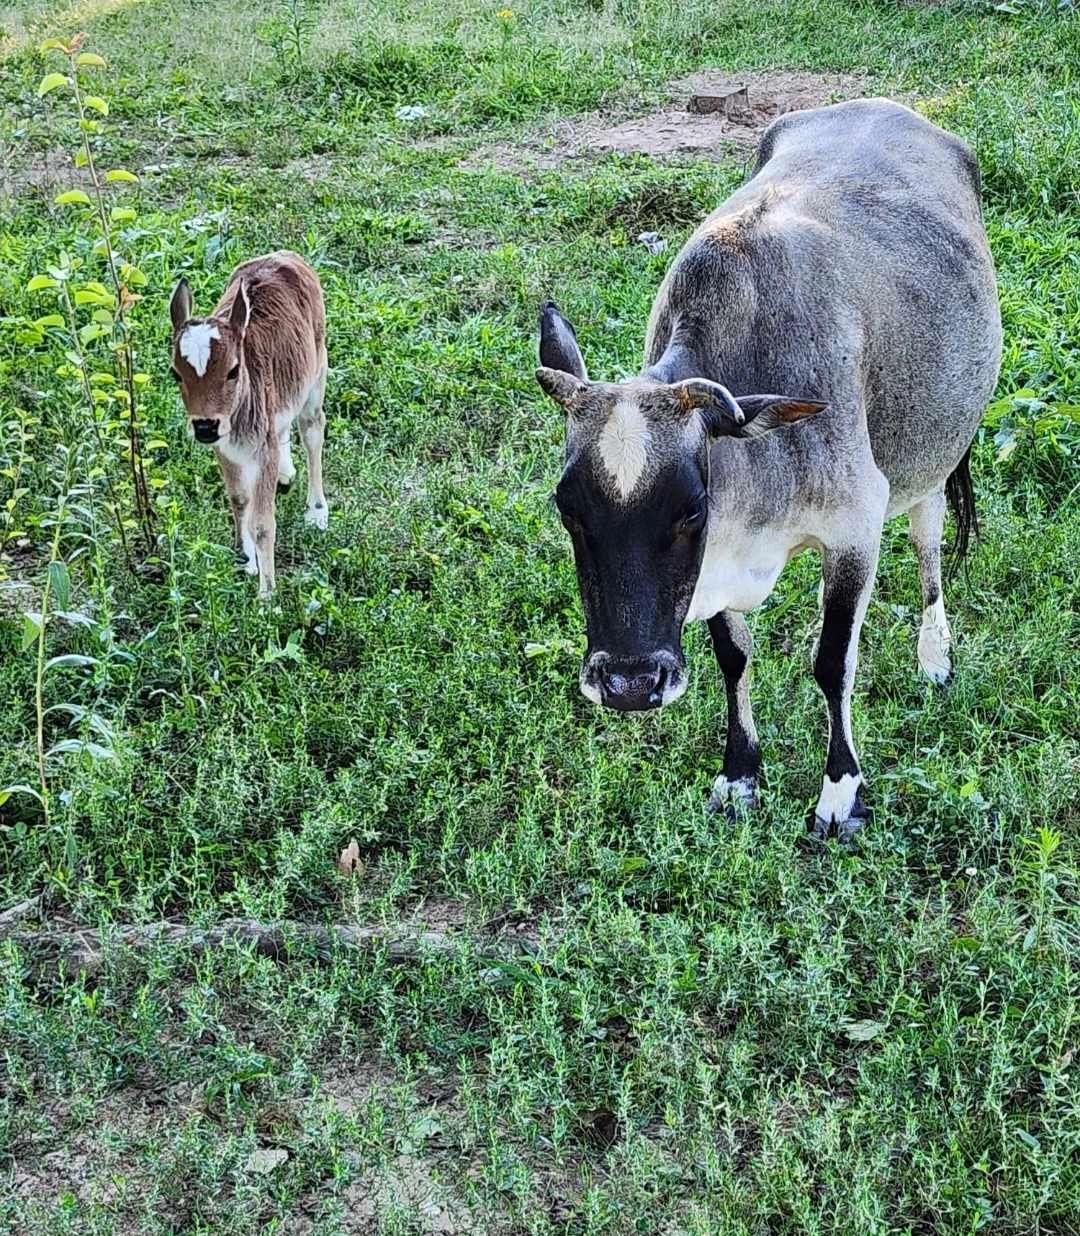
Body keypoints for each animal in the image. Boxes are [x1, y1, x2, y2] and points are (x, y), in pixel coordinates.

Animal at [169, 250, 328, 597]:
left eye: (233, 370)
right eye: (176, 374)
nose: (204, 426)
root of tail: (286, 255)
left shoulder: (262, 449)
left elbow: (262, 523)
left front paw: (267, 594)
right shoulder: (224, 447)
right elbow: (240, 499)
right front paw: (246, 560)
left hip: (317, 370)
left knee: (312, 429)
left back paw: (317, 512)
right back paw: (287, 473)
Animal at [535, 99, 1001, 839]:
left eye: (691, 508)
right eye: (567, 507)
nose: (630, 685)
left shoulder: (854, 529)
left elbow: (832, 662)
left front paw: (840, 793)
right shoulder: (718, 569)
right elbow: (735, 657)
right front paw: (740, 774)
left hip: (932, 455)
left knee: (929, 543)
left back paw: (934, 657)